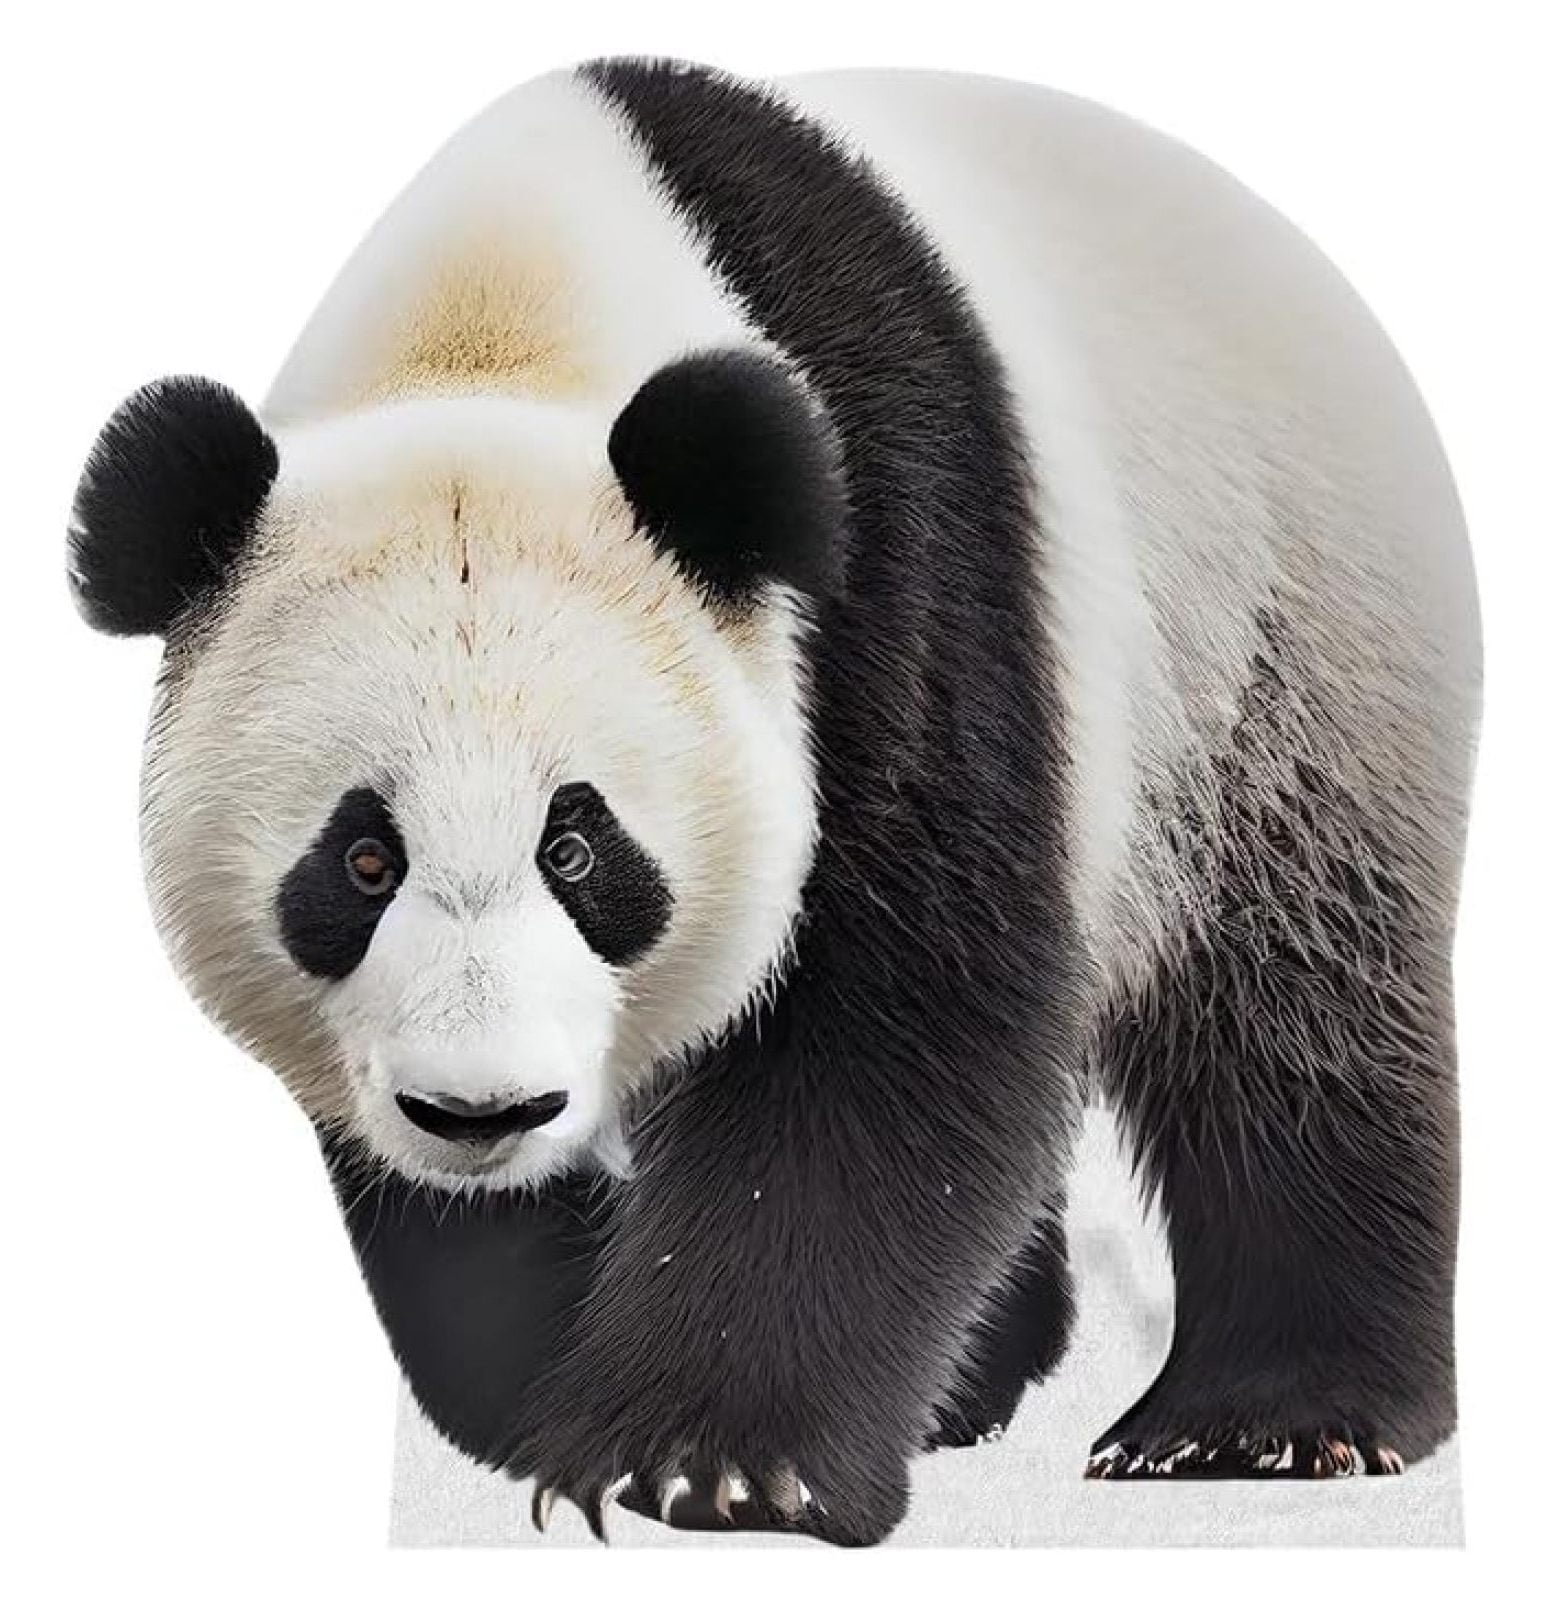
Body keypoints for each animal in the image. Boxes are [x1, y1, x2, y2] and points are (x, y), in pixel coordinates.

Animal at [67, 60, 1479, 1546]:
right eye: (360, 861)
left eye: (580, 846)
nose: (483, 1113)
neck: (496, 328)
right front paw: (544, 1380)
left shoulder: (890, 551)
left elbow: (894, 1014)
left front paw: (709, 1461)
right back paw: (990, 1373)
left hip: (1283, 637)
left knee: (1291, 1003)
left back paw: (1260, 1419)